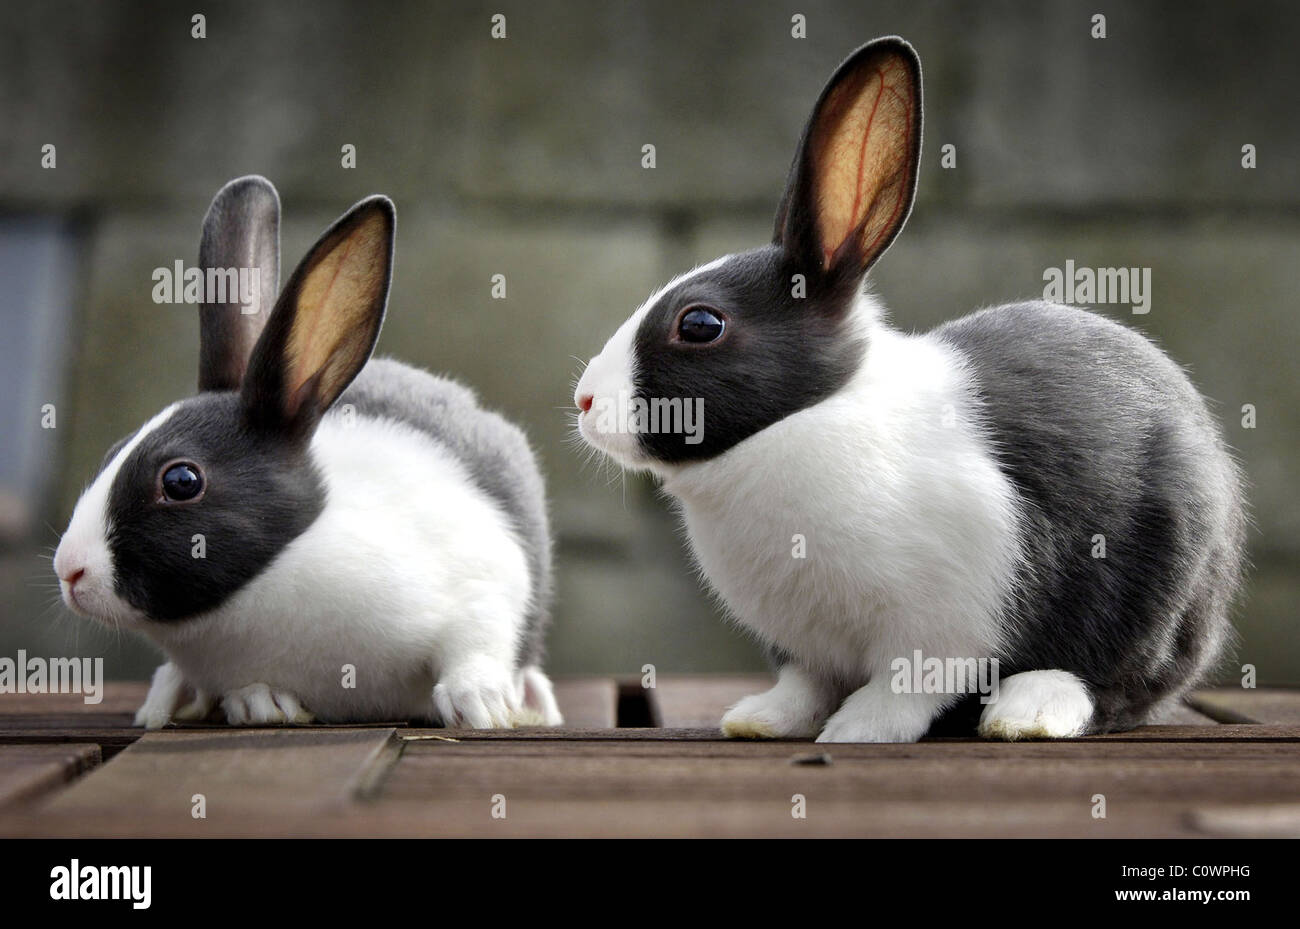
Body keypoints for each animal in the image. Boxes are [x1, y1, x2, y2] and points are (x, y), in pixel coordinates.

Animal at [54, 176, 562, 730]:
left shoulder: (486, 577)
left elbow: (475, 642)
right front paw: (259, 703)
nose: (69, 570)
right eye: (113, 451)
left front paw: (480, 705)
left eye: (181, 481)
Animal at [573, 37, 1246, 742]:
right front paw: (760, 720)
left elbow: (907, 684)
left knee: (1113, 684)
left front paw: (856, 730)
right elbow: (805, 684)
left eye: (700, 324)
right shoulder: (806, 648)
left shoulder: (946, 619)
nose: (585, 401)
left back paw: (1026, 714)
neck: (810, 415)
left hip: (1157, 592)